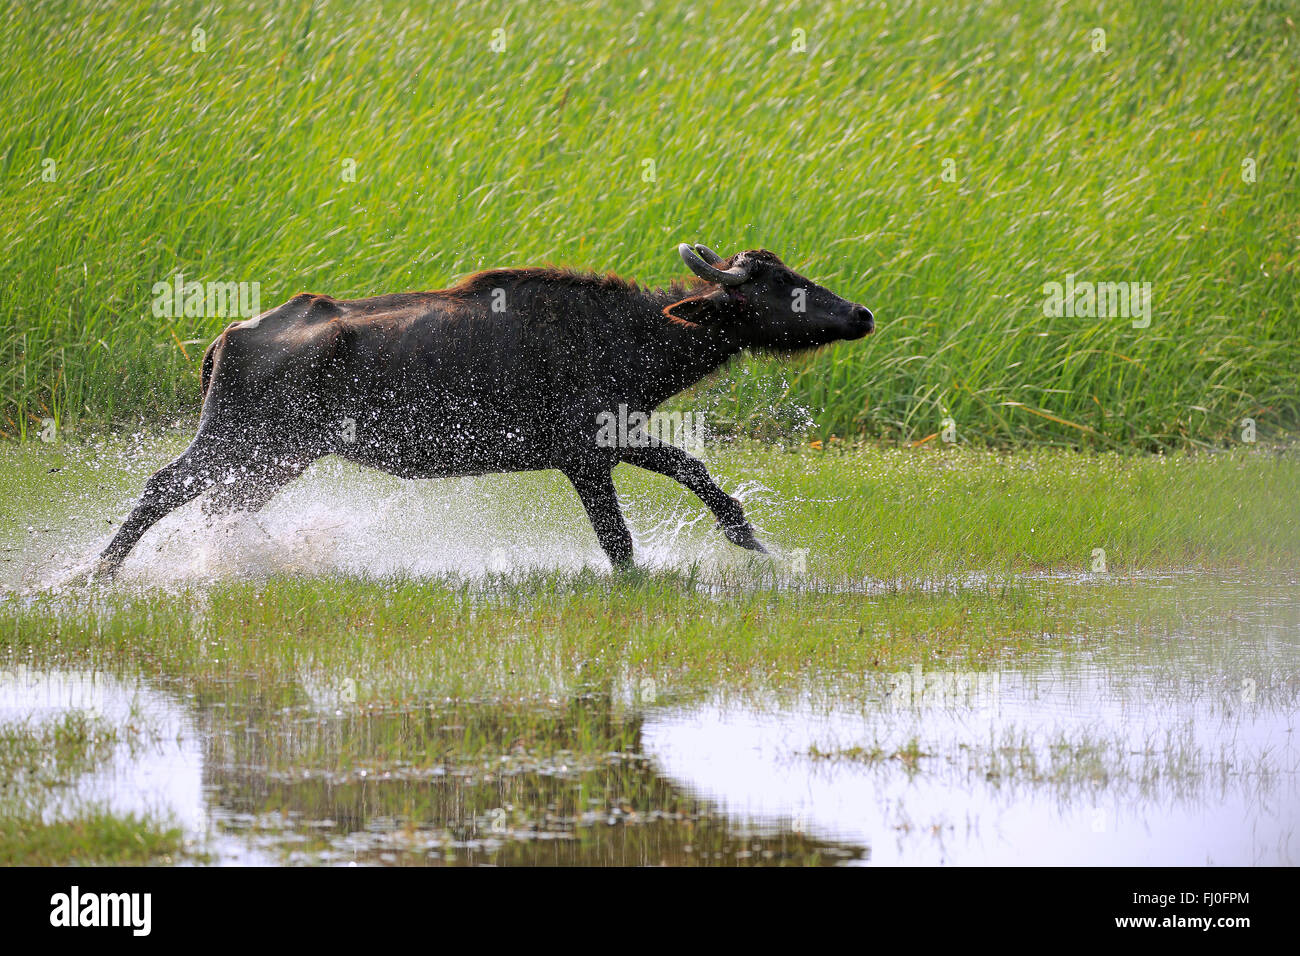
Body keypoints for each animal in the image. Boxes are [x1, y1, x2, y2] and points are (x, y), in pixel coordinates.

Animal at [94, 243, 874, 575]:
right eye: (780, 286)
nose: (861, 314)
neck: (631, 335)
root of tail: (228, 336)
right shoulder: (584, 451)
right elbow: (622, 539)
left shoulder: (607, 440)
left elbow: (698, 475)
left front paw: (758, 545)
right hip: (235, 441)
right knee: (162, 487)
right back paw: (96, 573)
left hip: (276, 459)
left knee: (219, 509)